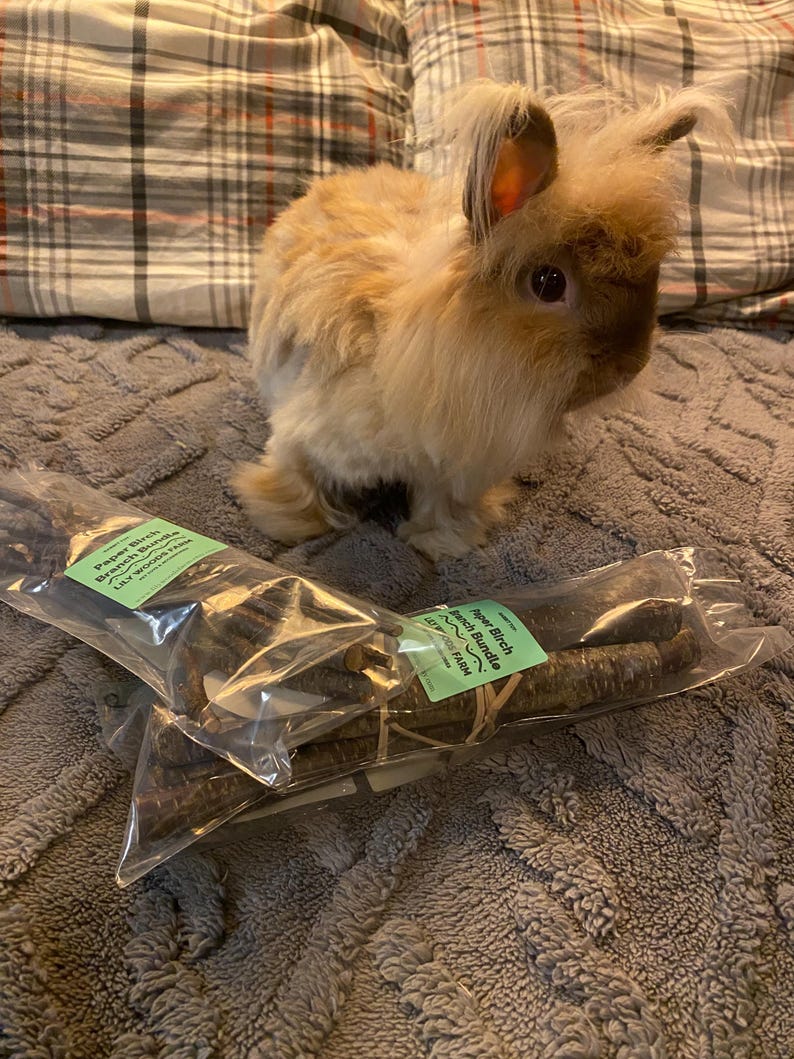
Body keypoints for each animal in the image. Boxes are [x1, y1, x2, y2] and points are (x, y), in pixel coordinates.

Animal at [234, 80, 731, 561]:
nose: (629, 366)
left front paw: (443, 543)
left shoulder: (452, 467)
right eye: (548, 283)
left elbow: (441, 503)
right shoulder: (307, 430)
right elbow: (298, 475)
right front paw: (290, 523)